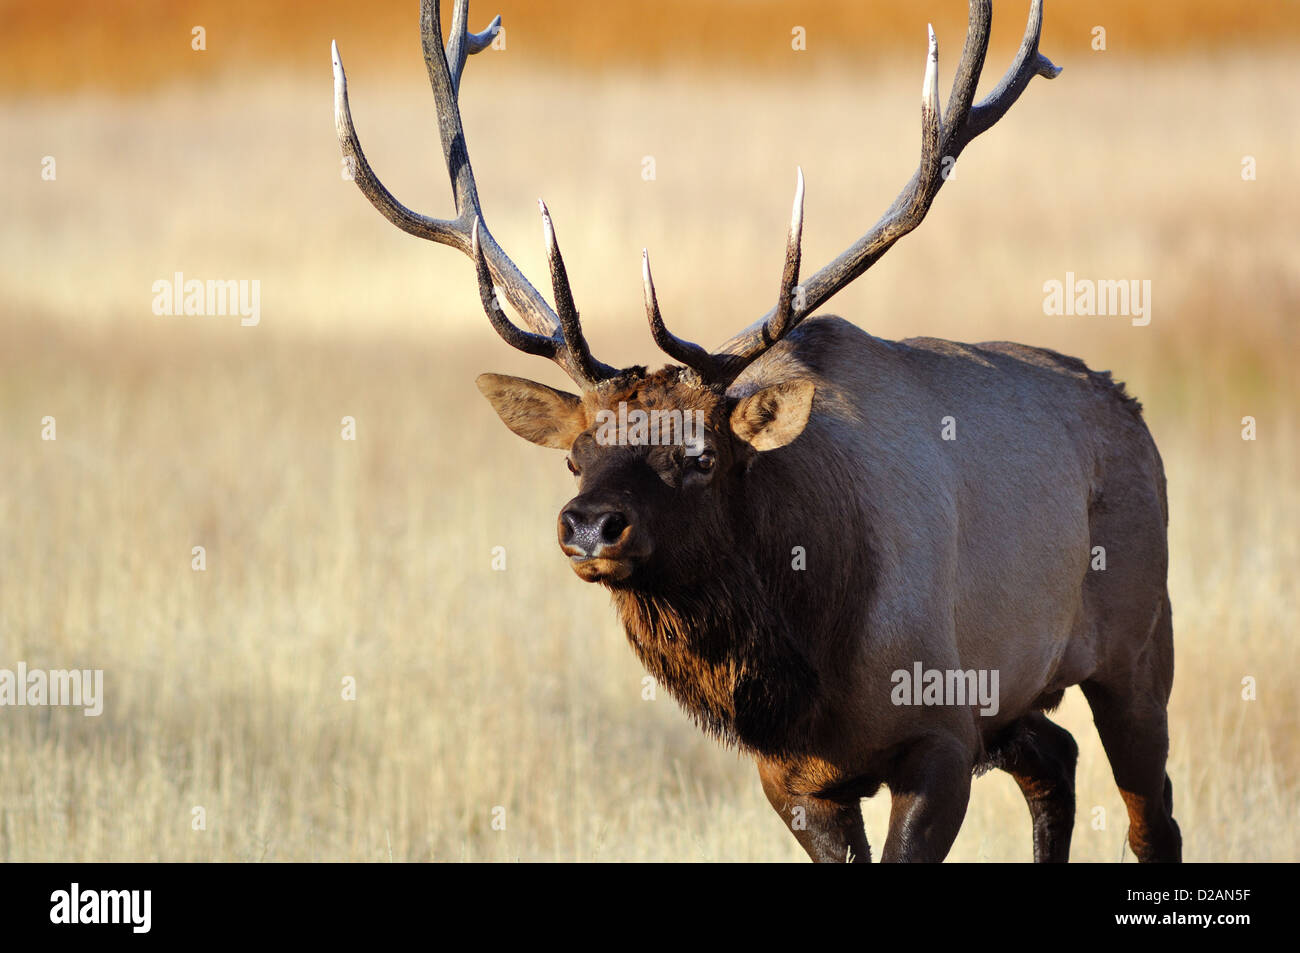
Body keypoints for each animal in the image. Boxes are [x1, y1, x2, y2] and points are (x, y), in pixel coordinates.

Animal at [331, 0, 1182, 863]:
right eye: (576, 455)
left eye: (701, 454)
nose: (591, 525)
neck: (810, 671)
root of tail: (1134, 414)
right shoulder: (794, 776)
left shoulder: (942, 727)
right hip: (1018, 701)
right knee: (1056, 759)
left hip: (1139, 642)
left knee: (1152, 812)